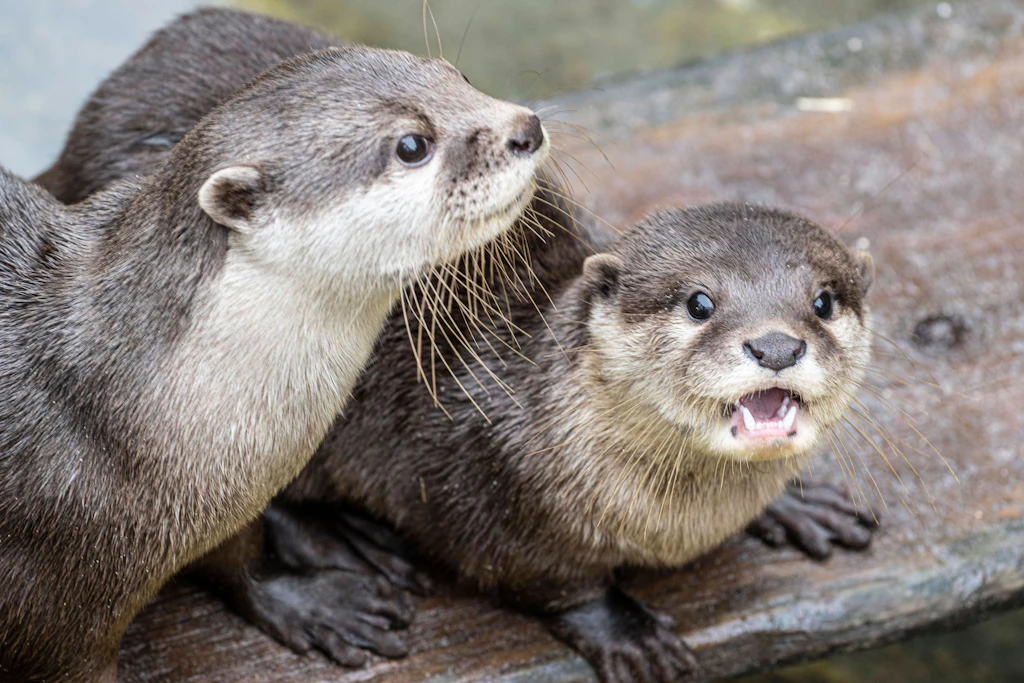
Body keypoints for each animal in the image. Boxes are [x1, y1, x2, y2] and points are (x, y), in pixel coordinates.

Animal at [1, 29, 548, 683]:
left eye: (457, 77)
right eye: (412, 145)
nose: (527, 127)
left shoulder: (228, 506)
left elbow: (242, 559)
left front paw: (313, 601)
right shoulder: (52, 610)